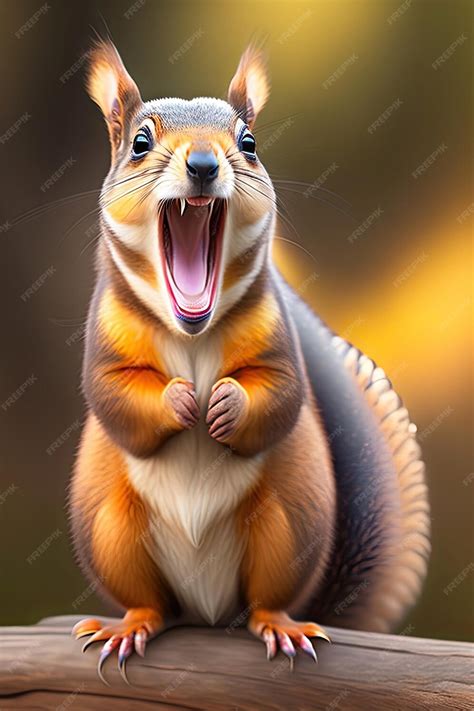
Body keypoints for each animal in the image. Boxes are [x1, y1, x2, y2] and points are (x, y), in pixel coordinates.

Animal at [70, 40, 430, 681]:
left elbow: (282, 393)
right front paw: (181, 399)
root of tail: (210, 612)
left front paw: (225, 403)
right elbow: (112, 395)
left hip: (286, 530)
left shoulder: (279, 344)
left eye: (250, 143)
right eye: (139, 142)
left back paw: (280, 625)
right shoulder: (103, 342)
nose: (204, 165)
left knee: (266, 601)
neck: (192, 333)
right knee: (151, 605)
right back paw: (129, 625)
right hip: (113, 532)